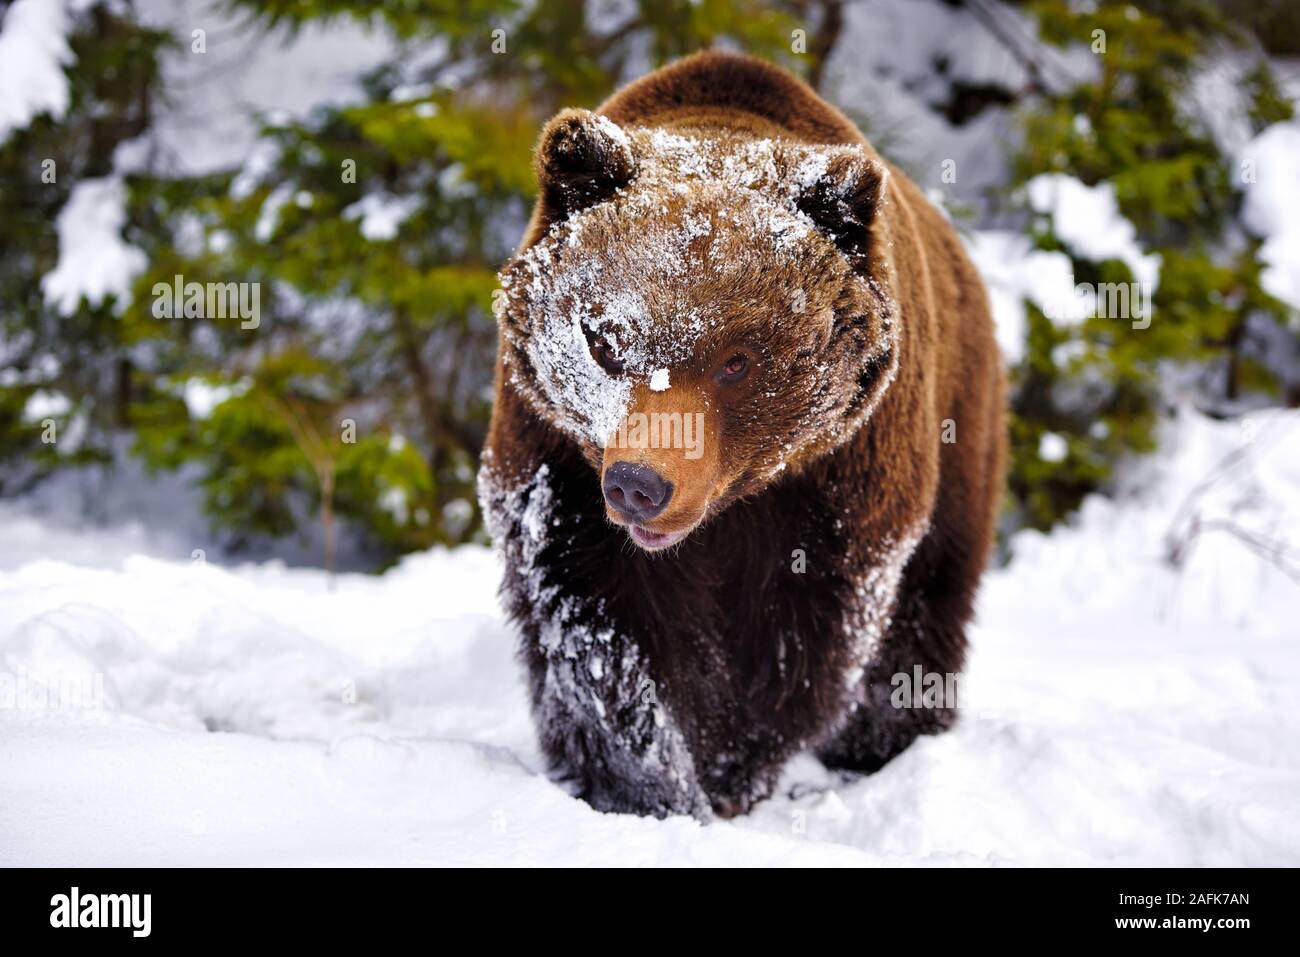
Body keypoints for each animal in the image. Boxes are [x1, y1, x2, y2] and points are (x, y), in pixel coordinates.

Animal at [479, 50, 1006, 819]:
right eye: (603, 340)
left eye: (736, 360)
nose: (640, 484)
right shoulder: (558, 464)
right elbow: (595, 627)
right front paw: (645, 783)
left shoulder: (838, 485)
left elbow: (797, 644)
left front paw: (729, 768)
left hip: (962, 432)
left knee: (926, 608)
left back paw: (886, 745)